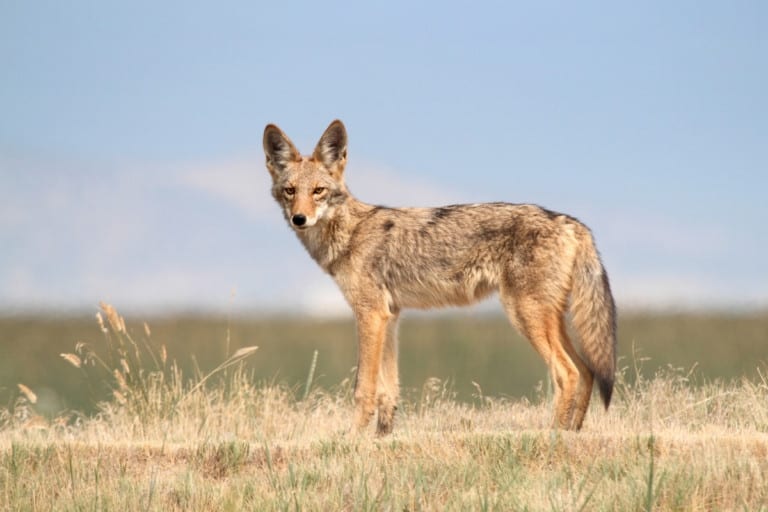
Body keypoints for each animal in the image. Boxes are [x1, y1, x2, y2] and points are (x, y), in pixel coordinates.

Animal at [263, 120, 617, 435]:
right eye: (290, 191)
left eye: (318, 191)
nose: (299, 219)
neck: (349, 233)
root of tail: (570, 222)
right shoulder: (390, 317)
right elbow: (388, 390)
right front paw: (382, 437)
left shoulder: (370, 314)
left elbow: (364, 387)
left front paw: (353, 439)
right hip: (547, 320)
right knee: (586, 370)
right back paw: (573, 431)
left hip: (525, 316)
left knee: (567, 373)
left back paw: (554, 434)